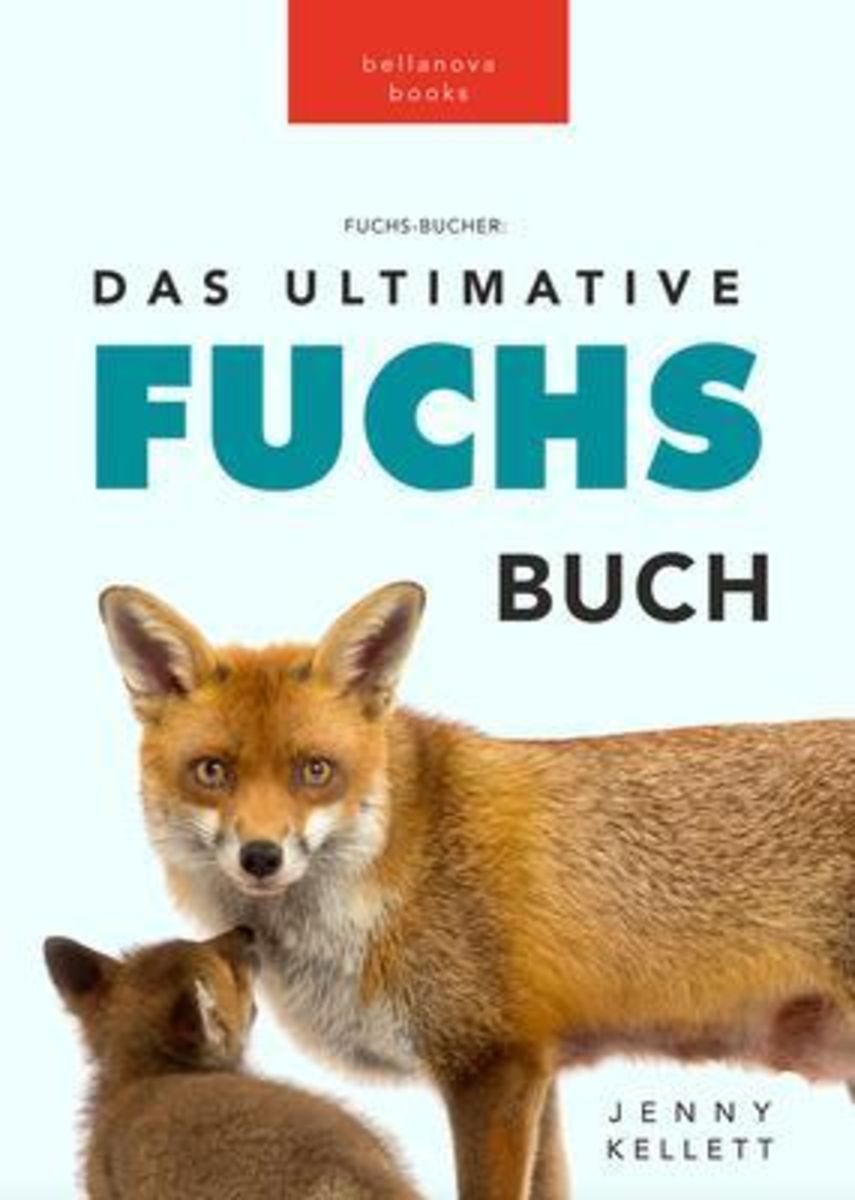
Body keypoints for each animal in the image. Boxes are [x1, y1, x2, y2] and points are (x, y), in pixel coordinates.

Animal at [100, 580, 855, 1200]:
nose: (261, 857)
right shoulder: (537, 1068)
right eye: (212, 771)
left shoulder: (491, 1065)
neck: (400, 866)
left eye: (315, 771)